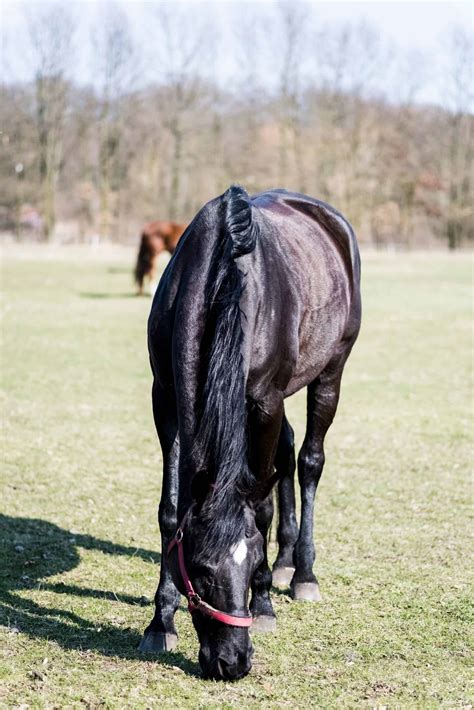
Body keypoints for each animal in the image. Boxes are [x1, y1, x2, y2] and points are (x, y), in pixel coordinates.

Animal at [139, 186, 361, 681]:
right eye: (200, 571)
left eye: (250, 557)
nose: (232, 663)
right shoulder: (165, 399)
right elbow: (170, 512)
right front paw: (161, 621)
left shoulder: (265, 401)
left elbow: (259, 508)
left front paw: (262, 606)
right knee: (288, 452)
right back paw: (286, 562)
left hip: (330, 372)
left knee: (309, 461)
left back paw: (302, 574)